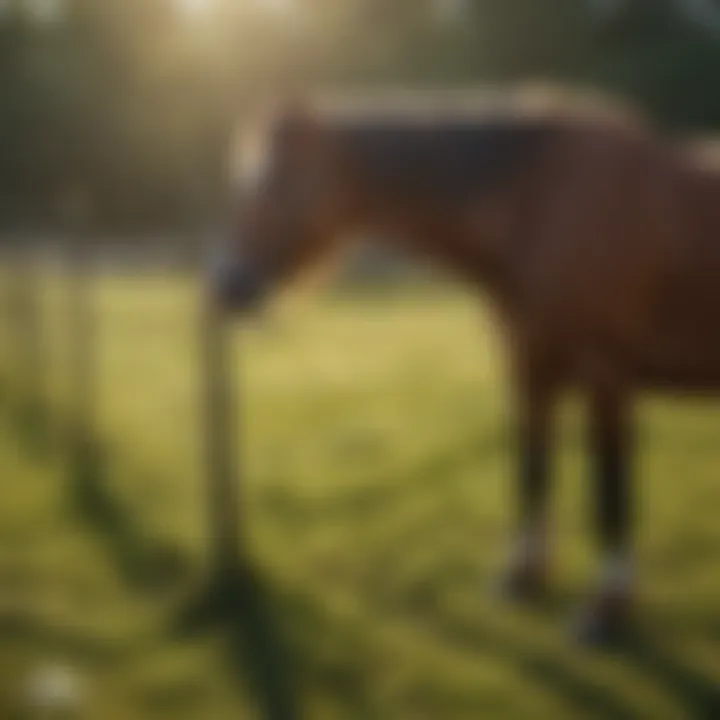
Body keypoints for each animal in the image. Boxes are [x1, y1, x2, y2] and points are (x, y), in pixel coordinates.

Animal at [214, 86, 720, 648]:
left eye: (277, 179)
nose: (228, 284)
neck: (541, 203)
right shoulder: (530, 367)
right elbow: (532, 467)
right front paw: (523, 575)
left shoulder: (606, 376)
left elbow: (610, 490)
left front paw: (606, 609)